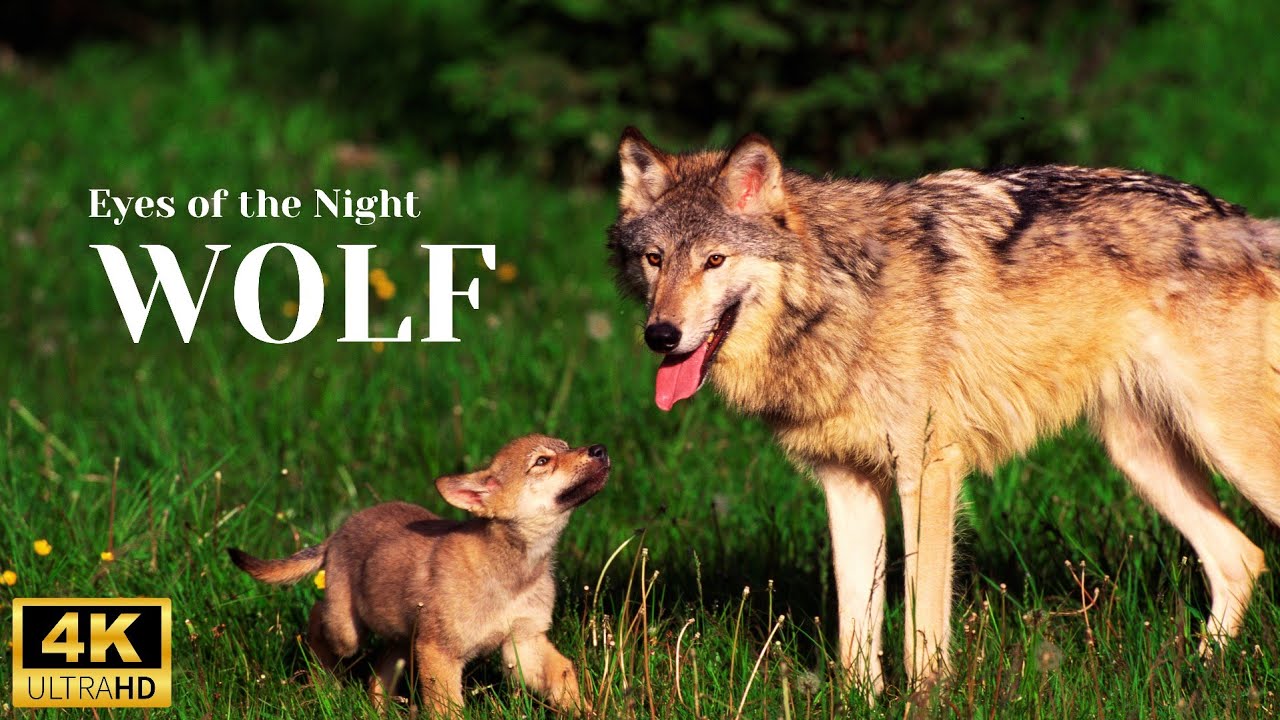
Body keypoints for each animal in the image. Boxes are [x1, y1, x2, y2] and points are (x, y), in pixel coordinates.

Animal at [229, 434, 609, 715]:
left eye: (567, 444)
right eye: (542, 462)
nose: (600, 449)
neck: (515, 572)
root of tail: (337, 533)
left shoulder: (524, 644)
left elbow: (564, 677)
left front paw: (588, 711)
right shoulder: (439, 653)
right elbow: (448, 710)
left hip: (400, 636)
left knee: (377, 675)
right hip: (346, 631)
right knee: (317, 619)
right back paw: (324, 684)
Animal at [607, 127, 1280, 695]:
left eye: (714, 260)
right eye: (656, 259)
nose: (660, 336)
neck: (843, 298)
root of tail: (1242, 220)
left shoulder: (926, 473)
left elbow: (921, 623)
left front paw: (926, 699)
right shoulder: (846, 483)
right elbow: (856, 627)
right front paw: (860, 701)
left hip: (1230, 451)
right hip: (1140, 458)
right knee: (1240, 557)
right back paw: (1195, 675)